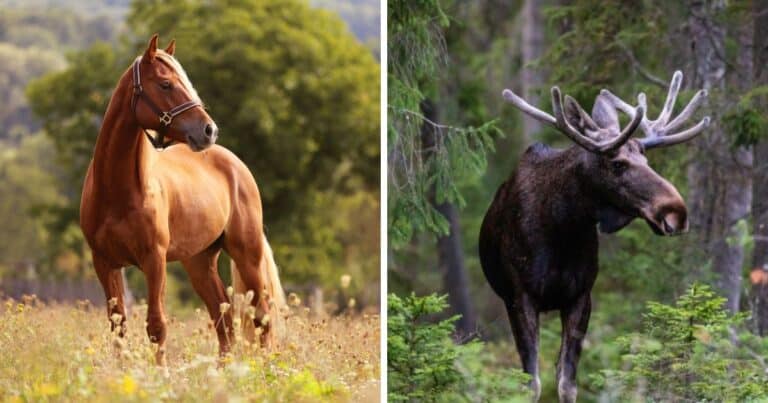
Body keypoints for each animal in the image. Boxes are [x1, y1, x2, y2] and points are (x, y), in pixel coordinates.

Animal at [80, 34, 286, 364]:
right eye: (165, 84)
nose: (209, 130)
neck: (117, 191)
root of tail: (235, 164)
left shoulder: (154, 259)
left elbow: (156, 325)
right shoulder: (105, 262)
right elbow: (118, 327)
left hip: (247, 254)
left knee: (261, 317)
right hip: (199, 262)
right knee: (224, 321)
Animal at [478, 71, 709, 402]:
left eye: (647, 161)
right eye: (617, 163)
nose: (676, 212)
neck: (562, 231)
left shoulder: (581, 296)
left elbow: (566, 382)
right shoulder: (520, 297)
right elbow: (531, 383)